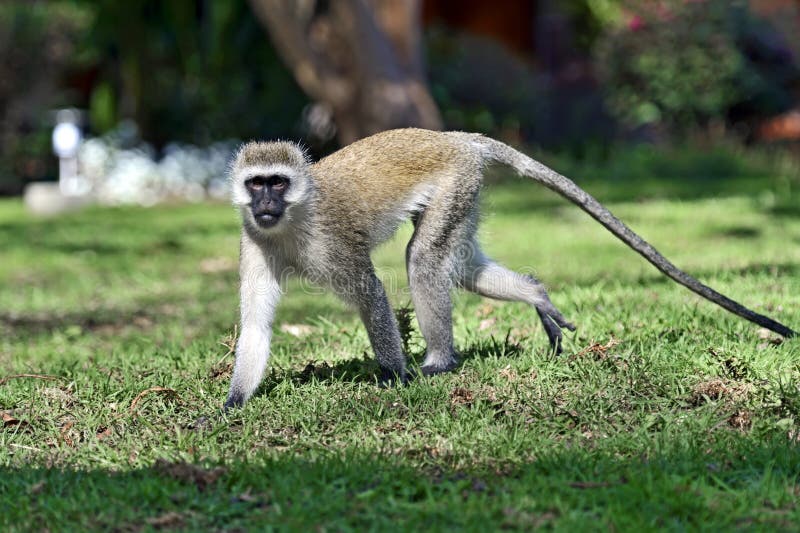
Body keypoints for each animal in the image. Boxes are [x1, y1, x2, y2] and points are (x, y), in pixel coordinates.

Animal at [223, 125, 792, 408]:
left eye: (278, 182)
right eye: (256, 184)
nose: (265, 203)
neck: (289, 221)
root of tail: (452, 136)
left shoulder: (333, 243)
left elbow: (370, 293)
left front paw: (395, 378)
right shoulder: (253, 242)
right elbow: (257, 325)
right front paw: (234, 403)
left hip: (456, 180)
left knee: (425, 261)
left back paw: (439, 362)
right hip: (465, 191)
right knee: (461, 266)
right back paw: (536, 295)